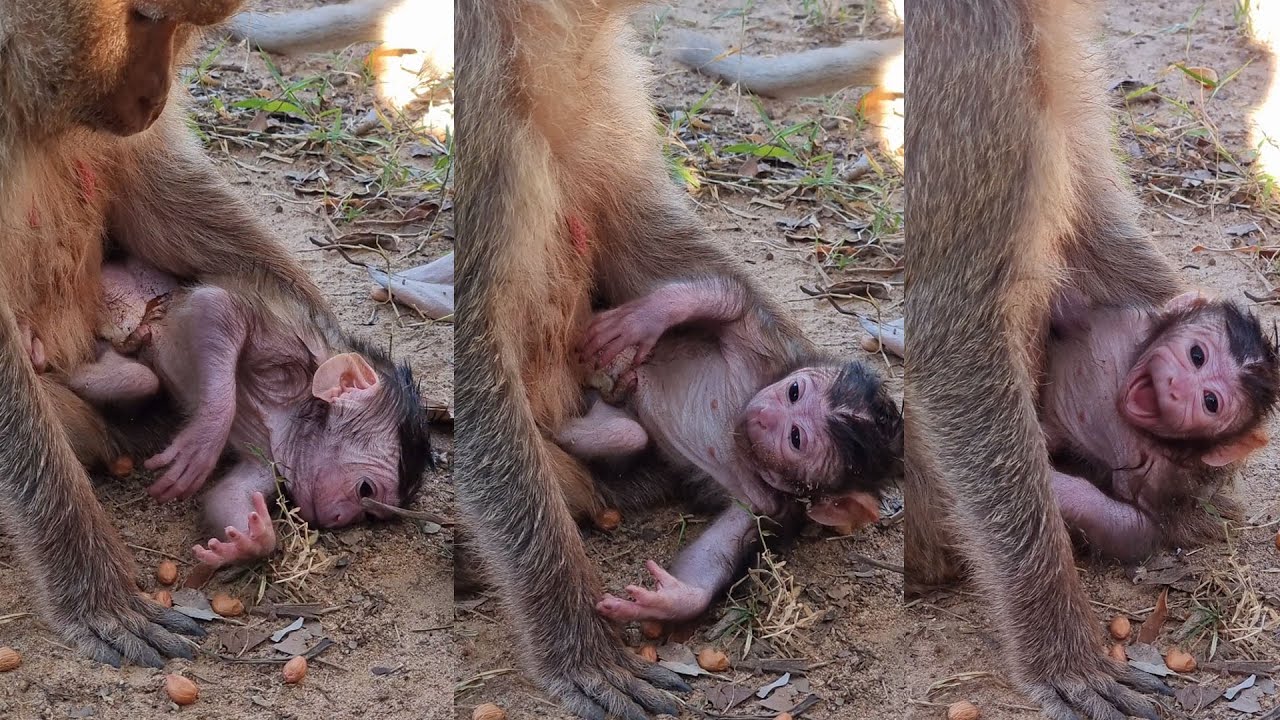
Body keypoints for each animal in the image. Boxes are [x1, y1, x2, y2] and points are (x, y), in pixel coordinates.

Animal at [552, 278, 901, 624]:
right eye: (794, 391)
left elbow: (714, 556)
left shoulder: (763, 508)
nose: (765, 415)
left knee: (631, 433)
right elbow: (729, 305)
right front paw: (647, 316)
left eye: (795, 438)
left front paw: (667, 600)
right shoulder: (759, 352)